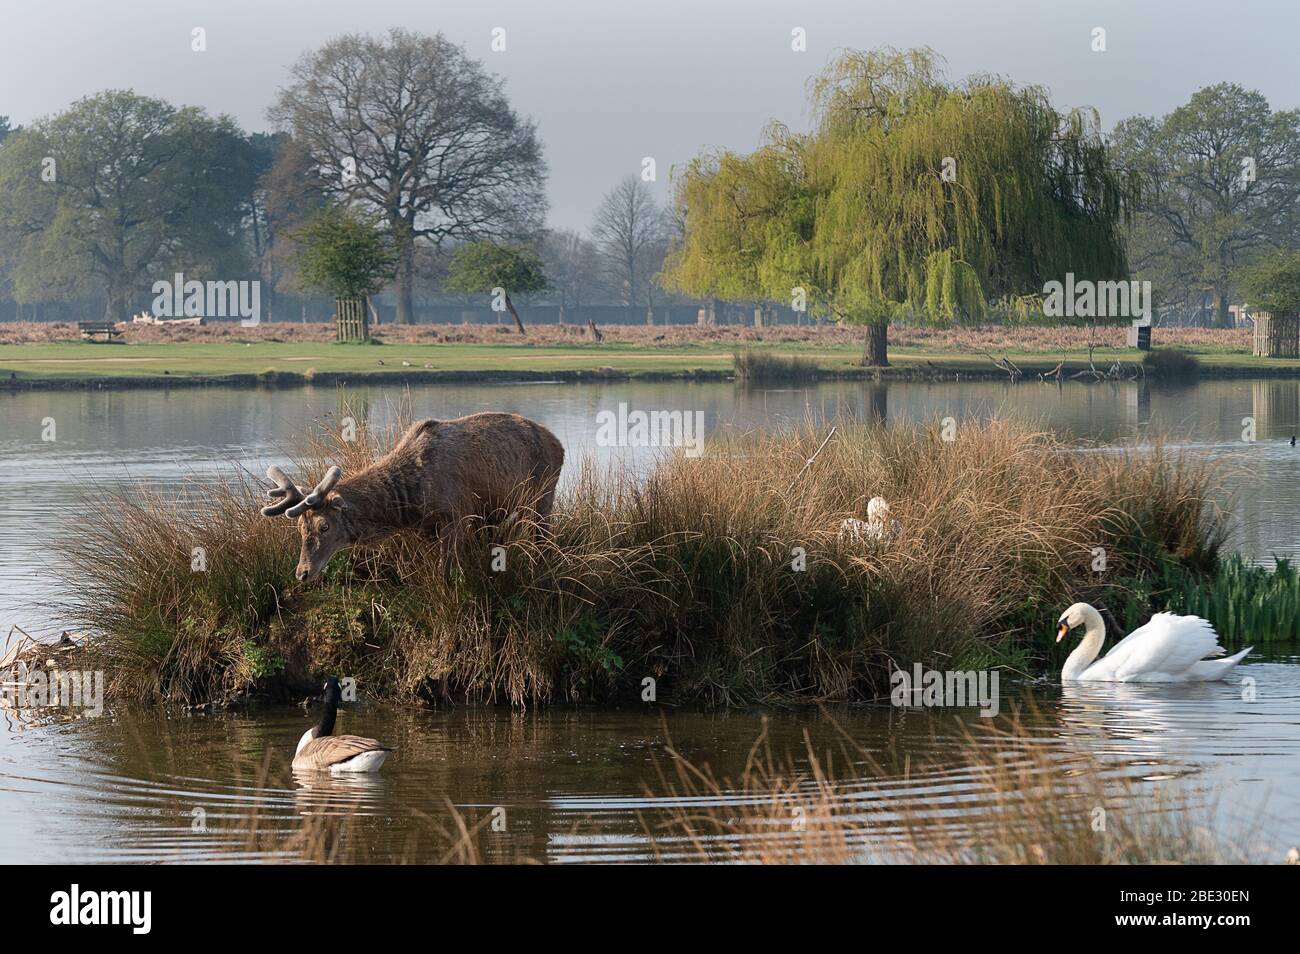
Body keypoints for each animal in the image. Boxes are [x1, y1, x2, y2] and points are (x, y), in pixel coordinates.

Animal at [261, 412, 564, 582]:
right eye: (299, 528)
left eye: (324, 526)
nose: (302, 573)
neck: (408, 503)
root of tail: (559, 444)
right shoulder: (426, 529)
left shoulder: (457, 513)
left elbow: (445, 573)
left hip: (542, 496)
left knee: (544, 542)